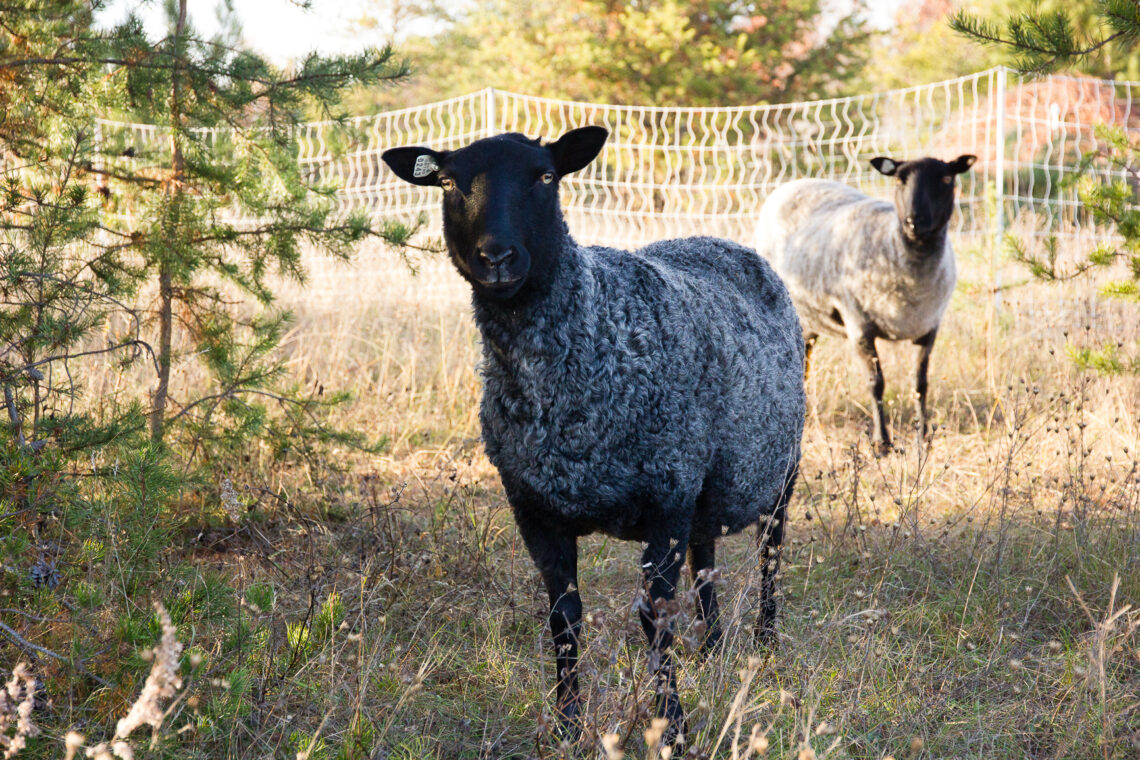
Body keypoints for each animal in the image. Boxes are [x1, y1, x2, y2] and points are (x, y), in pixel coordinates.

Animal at [382, 128, 805, 743]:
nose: (496, 257)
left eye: (544, 175)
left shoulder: (665, 498)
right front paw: (567, 724)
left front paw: (672, 724)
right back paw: (713, 647)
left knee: (770, 553)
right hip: (705, 482)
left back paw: (764, 647)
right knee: (705, 558)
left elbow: (653, 617)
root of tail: (721, 240)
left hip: (778, 468)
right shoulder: (535, 510)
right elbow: (564, 619)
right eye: (447, 182)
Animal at [753, 154, 976, 454]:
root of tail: (794, 183)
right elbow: (876, 384)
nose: (914, 221)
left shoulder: (929, 327)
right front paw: (882, 443)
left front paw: (923, 437)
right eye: (899, 180)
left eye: (947, 179)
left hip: (809, 319)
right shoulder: (858, 324)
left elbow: (920, 383)